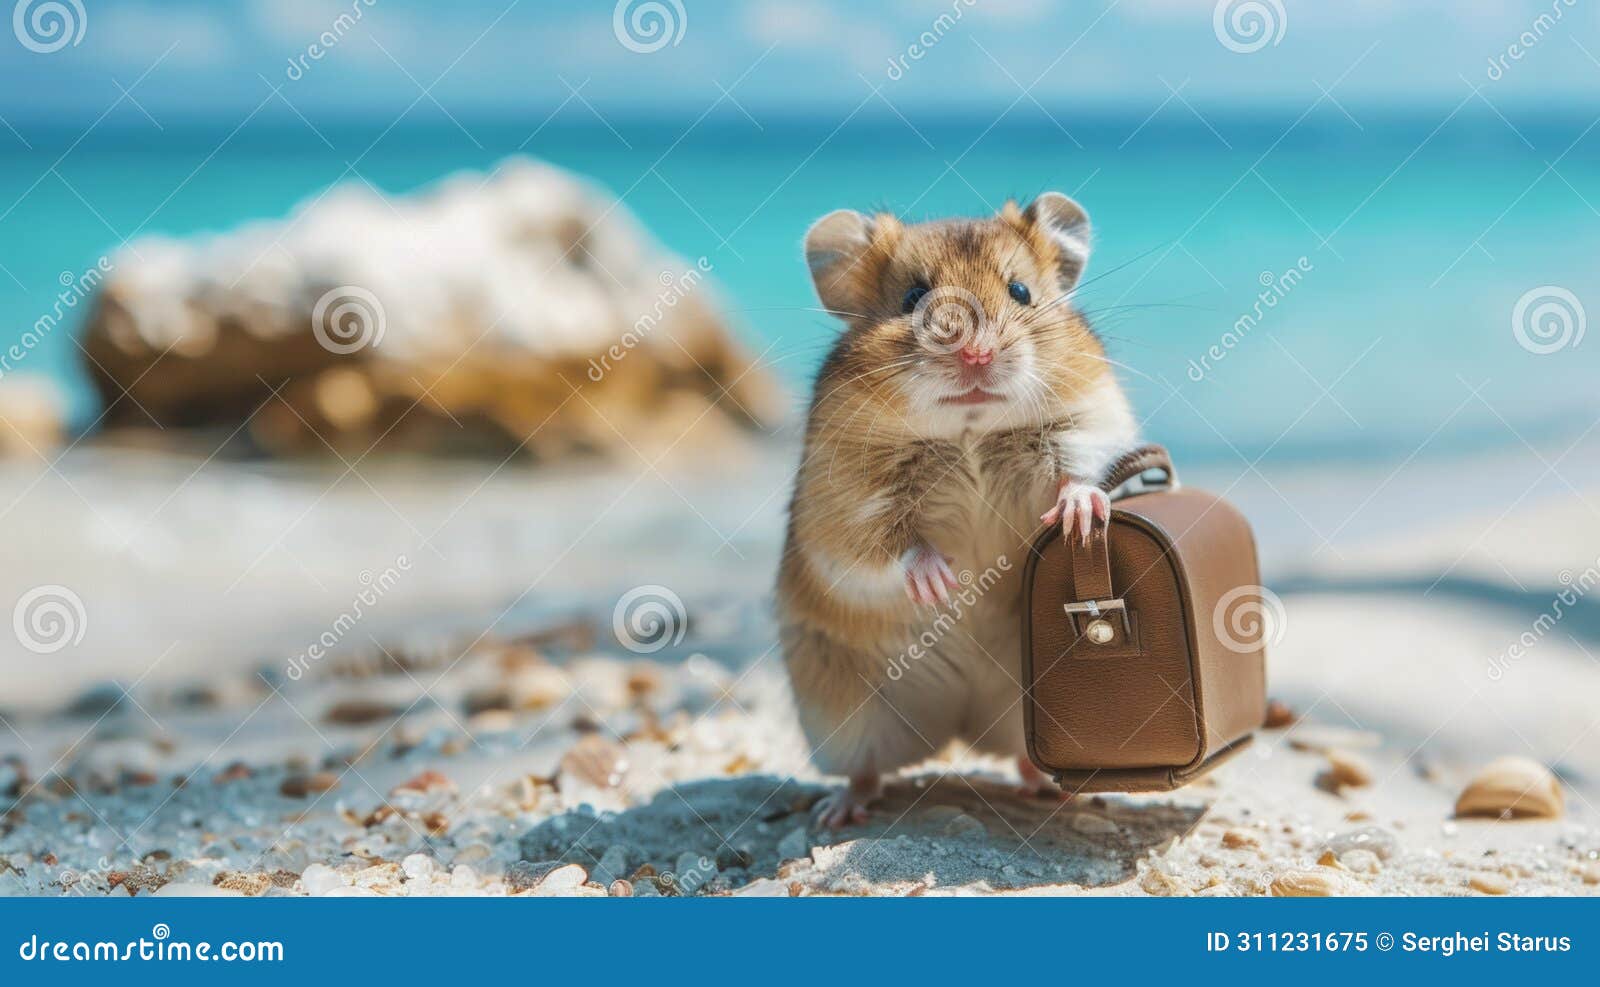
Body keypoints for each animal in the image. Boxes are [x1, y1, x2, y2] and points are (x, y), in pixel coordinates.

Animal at [776, 193, 1139, 827]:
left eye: (1020, 291)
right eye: (912, 298)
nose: (976, 354)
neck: (969, 430)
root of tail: (960, 727)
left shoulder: (1092, 418)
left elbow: (1081, 467)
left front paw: (1079, 513)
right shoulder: (843, 502)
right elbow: (886, 549)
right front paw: (944, 583)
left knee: (1024, 759)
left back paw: (1068, 794)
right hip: (842, 716)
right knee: (865, 768)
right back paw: (838, 811)